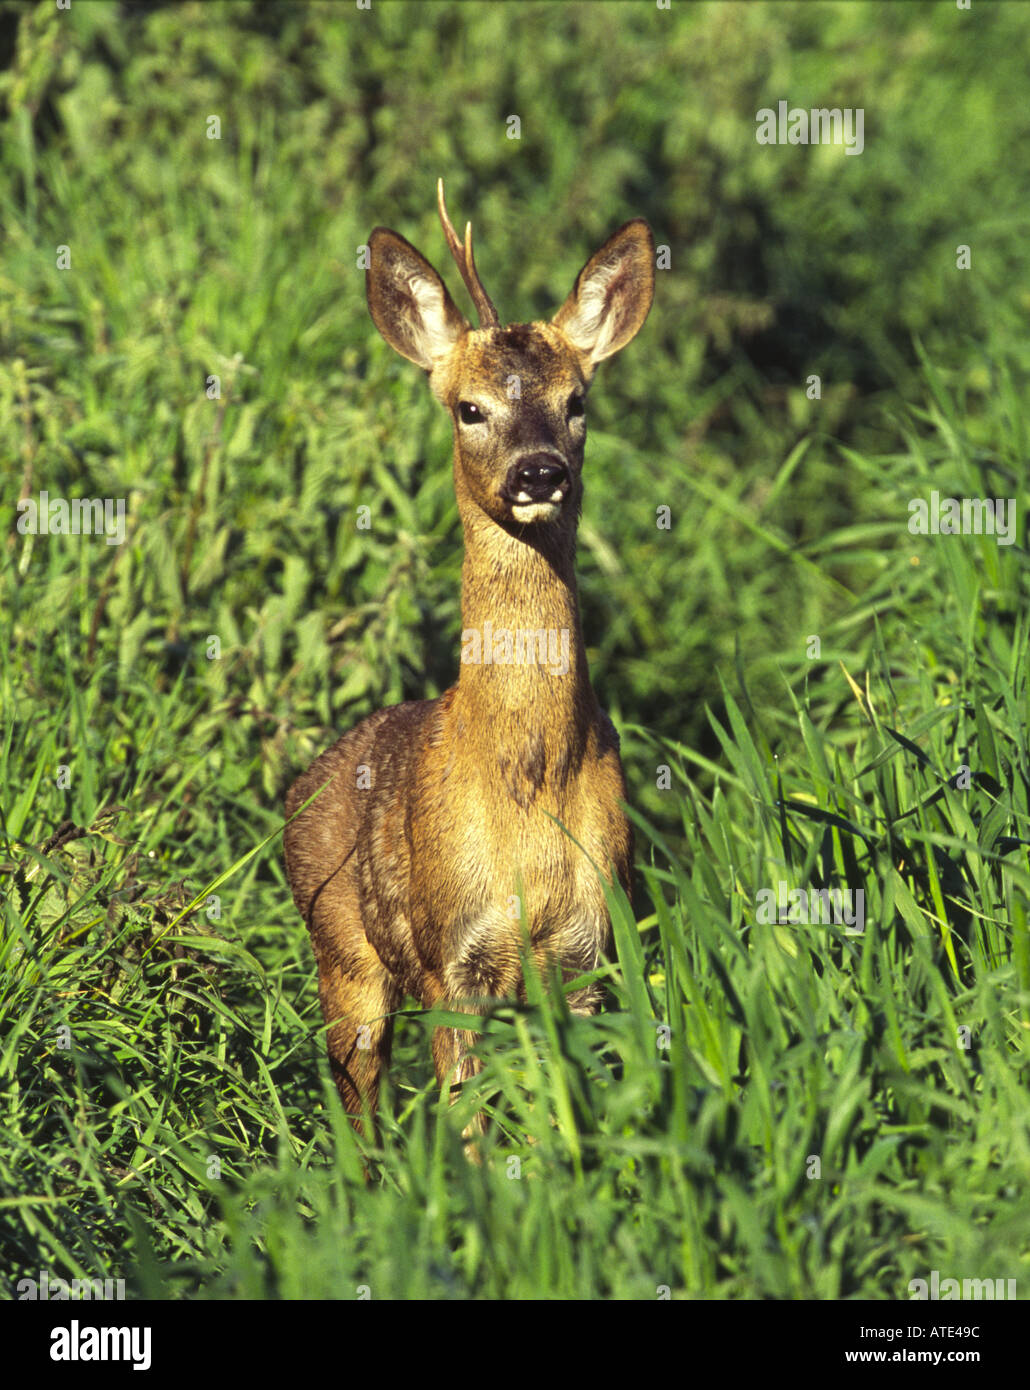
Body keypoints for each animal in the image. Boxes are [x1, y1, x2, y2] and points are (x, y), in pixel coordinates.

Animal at [284, 181, 654, 1141]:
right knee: (358, 1099)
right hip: (342, 951)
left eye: (578, 401)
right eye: (470, 408)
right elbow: (472, 1125)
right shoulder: (453, 955)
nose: (539, 471)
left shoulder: (588, 948)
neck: (527, 779)